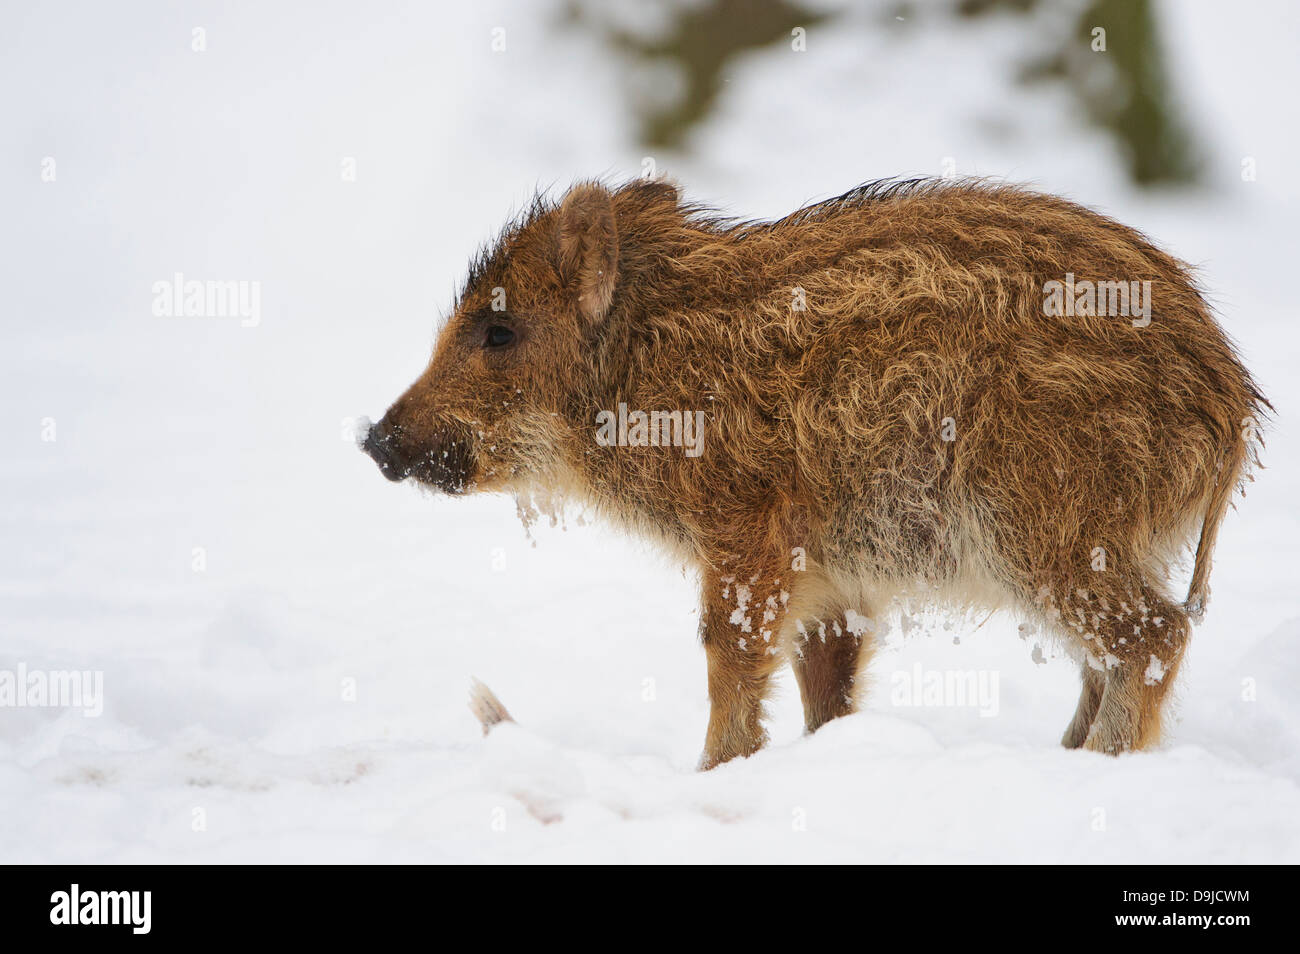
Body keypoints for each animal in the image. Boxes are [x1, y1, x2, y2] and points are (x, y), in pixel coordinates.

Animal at [362, 177, 1267, 769]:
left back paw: (1103, 766)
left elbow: (728, 651)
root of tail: (1232, 398)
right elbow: (823, 687)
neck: (647, 371)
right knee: (1105, 659)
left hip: (1049, 525)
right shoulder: (834, 578)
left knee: (1154, 636)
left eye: (499, 331)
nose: (375, 440)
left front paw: (714, 777)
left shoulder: (748, 532)